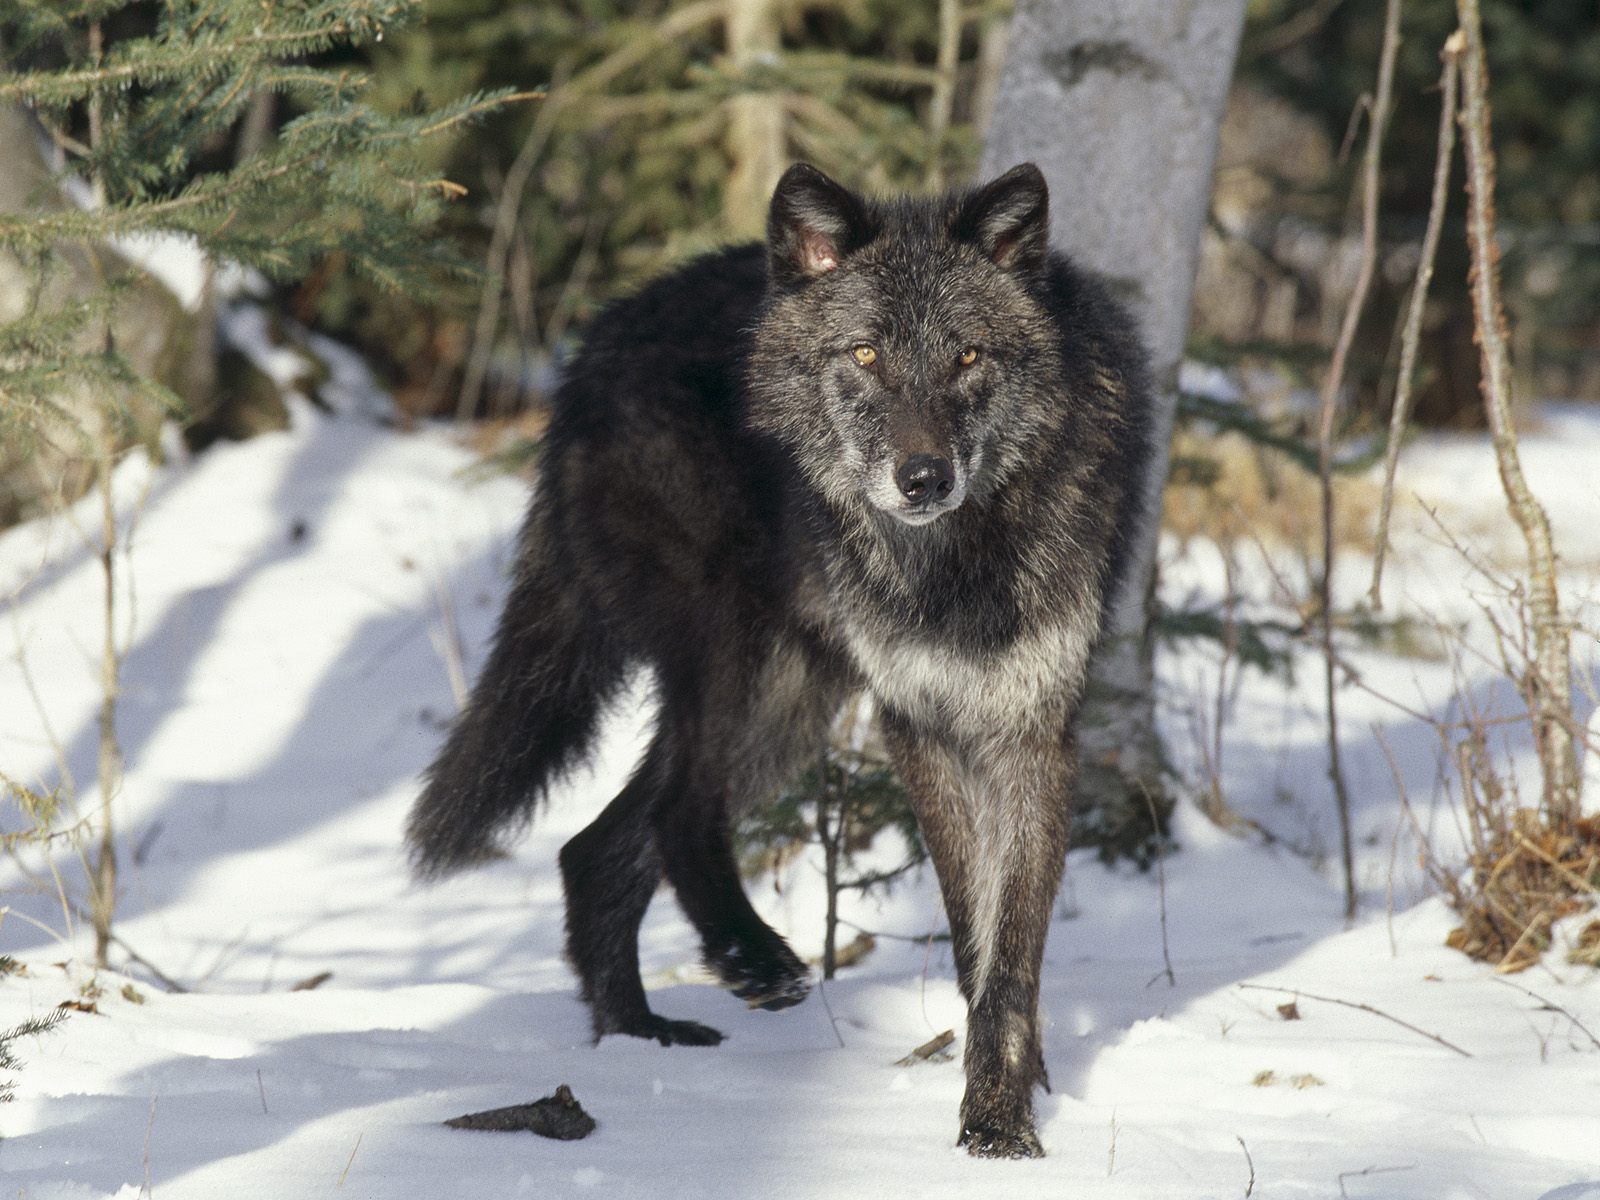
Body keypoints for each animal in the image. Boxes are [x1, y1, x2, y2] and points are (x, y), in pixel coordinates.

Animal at [406, 162, 1152, 1158]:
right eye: (866, 355)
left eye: (968, 358)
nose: (924, 479)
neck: (952, 565)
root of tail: (590, 351)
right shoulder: (916, 724)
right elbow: (972, 932)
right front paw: (996, 1117)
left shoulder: (1031, 733)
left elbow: (1010, 955)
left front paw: (1006, 1111)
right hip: (741, 662)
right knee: (677, 812)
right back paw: (750, 961)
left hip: (790, 706)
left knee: (596, 845)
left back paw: (637, 1039)